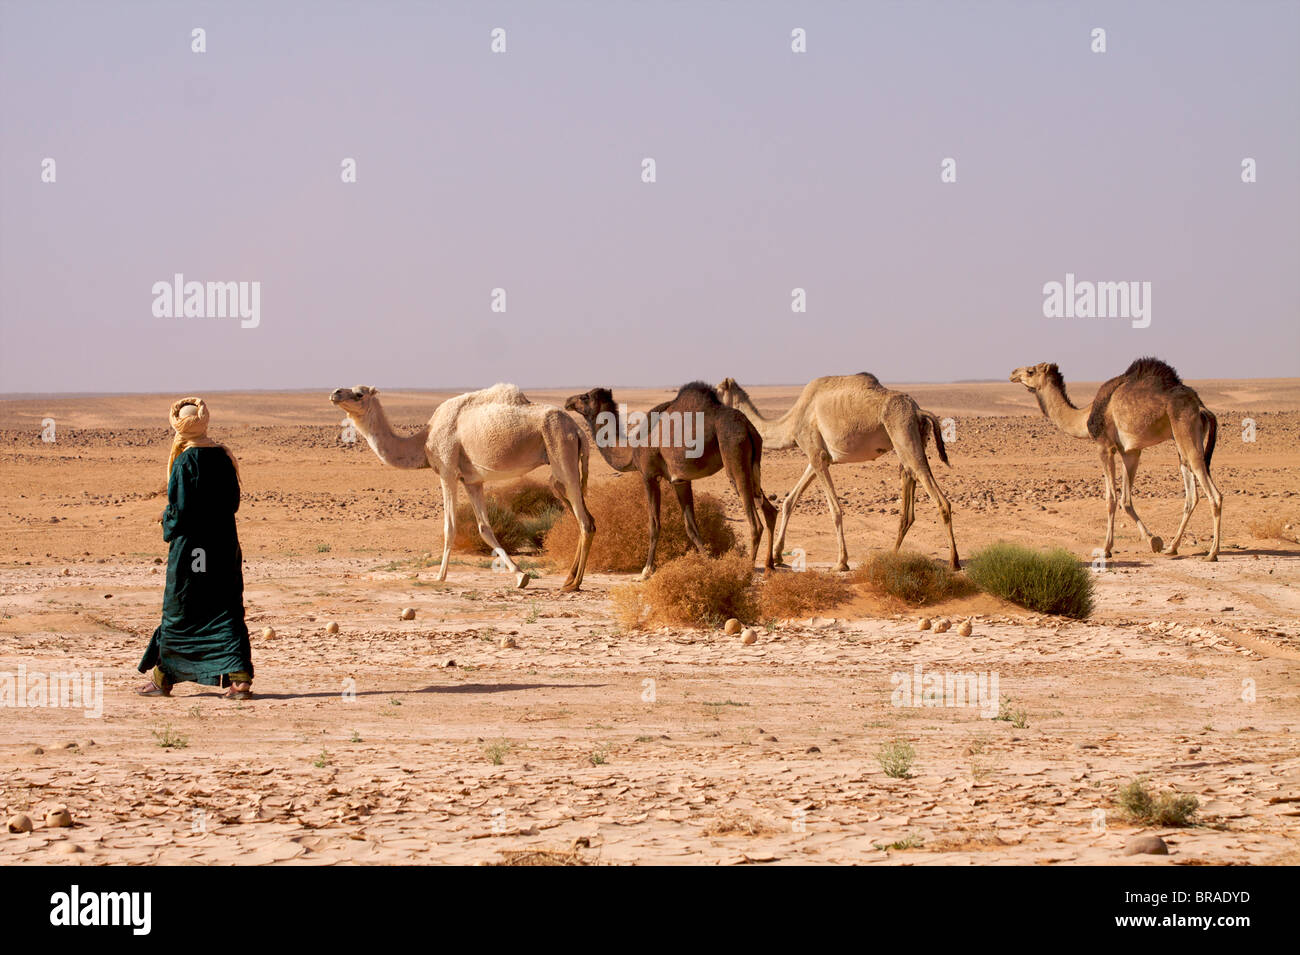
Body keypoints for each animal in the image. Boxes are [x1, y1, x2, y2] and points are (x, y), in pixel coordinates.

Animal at [329, 384, 595, 590]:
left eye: (359, 394)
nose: (335, 393)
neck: (424, 441)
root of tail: (577, 429)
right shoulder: (472, 480)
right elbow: (484, 528)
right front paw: (520, 576)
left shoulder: (447, 471)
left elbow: (450, 527)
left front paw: (440, 576)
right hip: (559, 471)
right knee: (582, 516)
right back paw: (569, 579)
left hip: (561, 448)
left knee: (584, 521)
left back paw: (573, 584)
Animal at [563, 382, 776, 579]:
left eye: (584, 396)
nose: (567, 401)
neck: (631, 449)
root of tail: (748, 427)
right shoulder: (680, 480)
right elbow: (691, 527)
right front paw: (709, 562)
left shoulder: (649, 475)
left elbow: (654, 524)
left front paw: (646, 570)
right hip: (753, 466)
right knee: (770, 511)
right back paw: (769, 567)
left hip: (734, 454)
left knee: (755, 523)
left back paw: (745, 572)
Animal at [715, 374, 959, 571]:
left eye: (717, 390)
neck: (792, 422)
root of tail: (918, 410)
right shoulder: (820, 458)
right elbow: (790, 501)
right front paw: (777, 555)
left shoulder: (816, 455)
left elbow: (835, 510)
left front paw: (841, 562)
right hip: (913, 439)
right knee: (909, 484)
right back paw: (893, 554)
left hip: (903, 433)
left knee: (939, 498)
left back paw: (954, 562)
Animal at [1009, 358, 1221, 561]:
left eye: (1030, 371)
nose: (1013, 373)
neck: (1085, 416)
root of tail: (1201, 407)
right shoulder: (1130, 452)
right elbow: (1125, 500)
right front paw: (1155, 541)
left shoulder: (1104, 447)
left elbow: (1111, 498)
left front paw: (1106, 549)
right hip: (1182, 442)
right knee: (1191, 494)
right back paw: (1172, 548)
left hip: (1185, 430)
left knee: (1214, 493)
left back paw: (1212, 553)